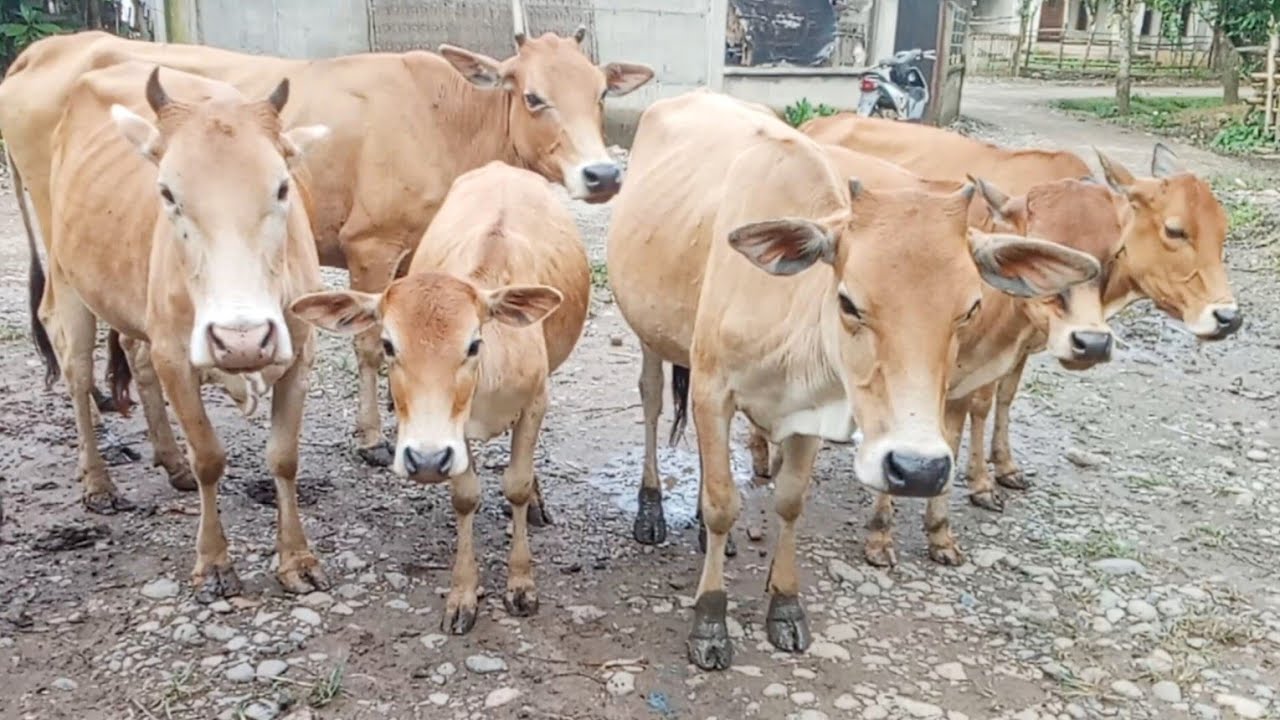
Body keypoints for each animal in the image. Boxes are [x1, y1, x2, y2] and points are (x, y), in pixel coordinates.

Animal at [1, 29, 651, 524]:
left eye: (599, 94)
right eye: (535, 97)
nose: (603, 175)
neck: (447, 116)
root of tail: (45, 50)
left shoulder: (415, 249)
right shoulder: (373, 244)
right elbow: (365, 346)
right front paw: (371, 437)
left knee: (135, 350)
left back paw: (173, 459)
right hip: (64, 253)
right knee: (67, 339)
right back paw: (99, 481)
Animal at [34, 63, 331, 599]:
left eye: (282, 189)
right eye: (168, 194)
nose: (240, 340)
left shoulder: (300, 350)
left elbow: (284, 458)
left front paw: (297, 559)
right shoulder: (176, 355)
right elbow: (209, 457)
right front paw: (213, 562)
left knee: (137, 359)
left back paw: (170, 460)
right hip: (67, 277)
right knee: (77, 374)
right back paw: (97, 483)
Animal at [291, 162, 589, 635]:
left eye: (473, 343)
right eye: (389, 345)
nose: (426, 460)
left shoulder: (535, 401)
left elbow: (518, 484)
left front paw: (521, 584)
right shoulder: (454, 432)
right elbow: (465, 496)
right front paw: (463, 595)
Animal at [605, 90, 1103, 669]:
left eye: (971, 308)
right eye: (848, 302)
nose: (918, 468)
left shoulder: (810, 412)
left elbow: (789, 501)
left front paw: (785, 604)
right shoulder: (713, 389)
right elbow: (722, 505)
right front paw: (709, 620)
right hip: (651, 336)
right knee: (653, 403)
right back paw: (651, 509)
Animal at [802, 113, 1242, 508]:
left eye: (1116, 251)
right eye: (1175, 230)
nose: (1228, 318)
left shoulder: (1020, 345)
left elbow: (1005, 396)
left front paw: (1005, 467)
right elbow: (980, 404)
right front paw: (980, 484)